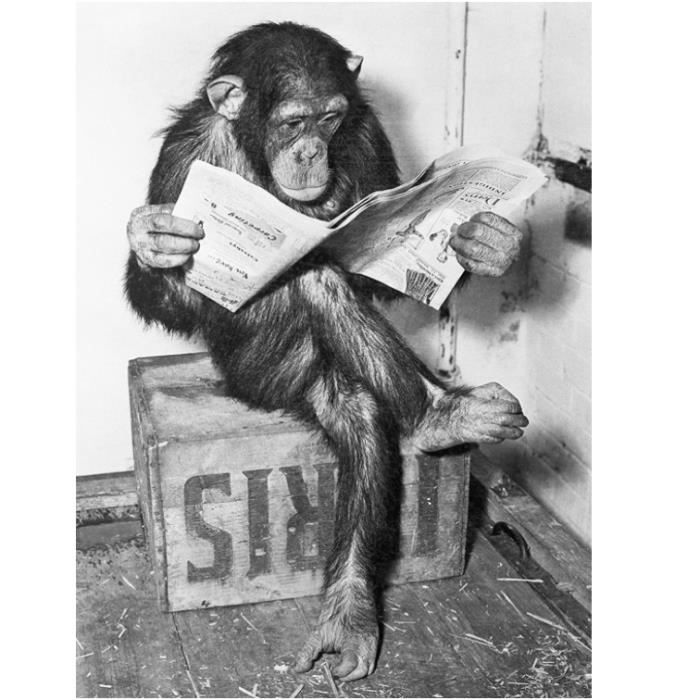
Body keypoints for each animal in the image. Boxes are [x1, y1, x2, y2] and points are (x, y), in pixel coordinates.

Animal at [125, 22, 528, 682]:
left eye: (330, 118)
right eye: (292, 122)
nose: (312, 150)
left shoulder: (367, 134)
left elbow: (373, 267)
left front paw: (484, 241)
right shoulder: (184, 157)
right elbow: (174, 297)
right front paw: (155, 240)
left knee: (358, 401)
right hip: (265, 373)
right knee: (316, 292)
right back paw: (438, 417)